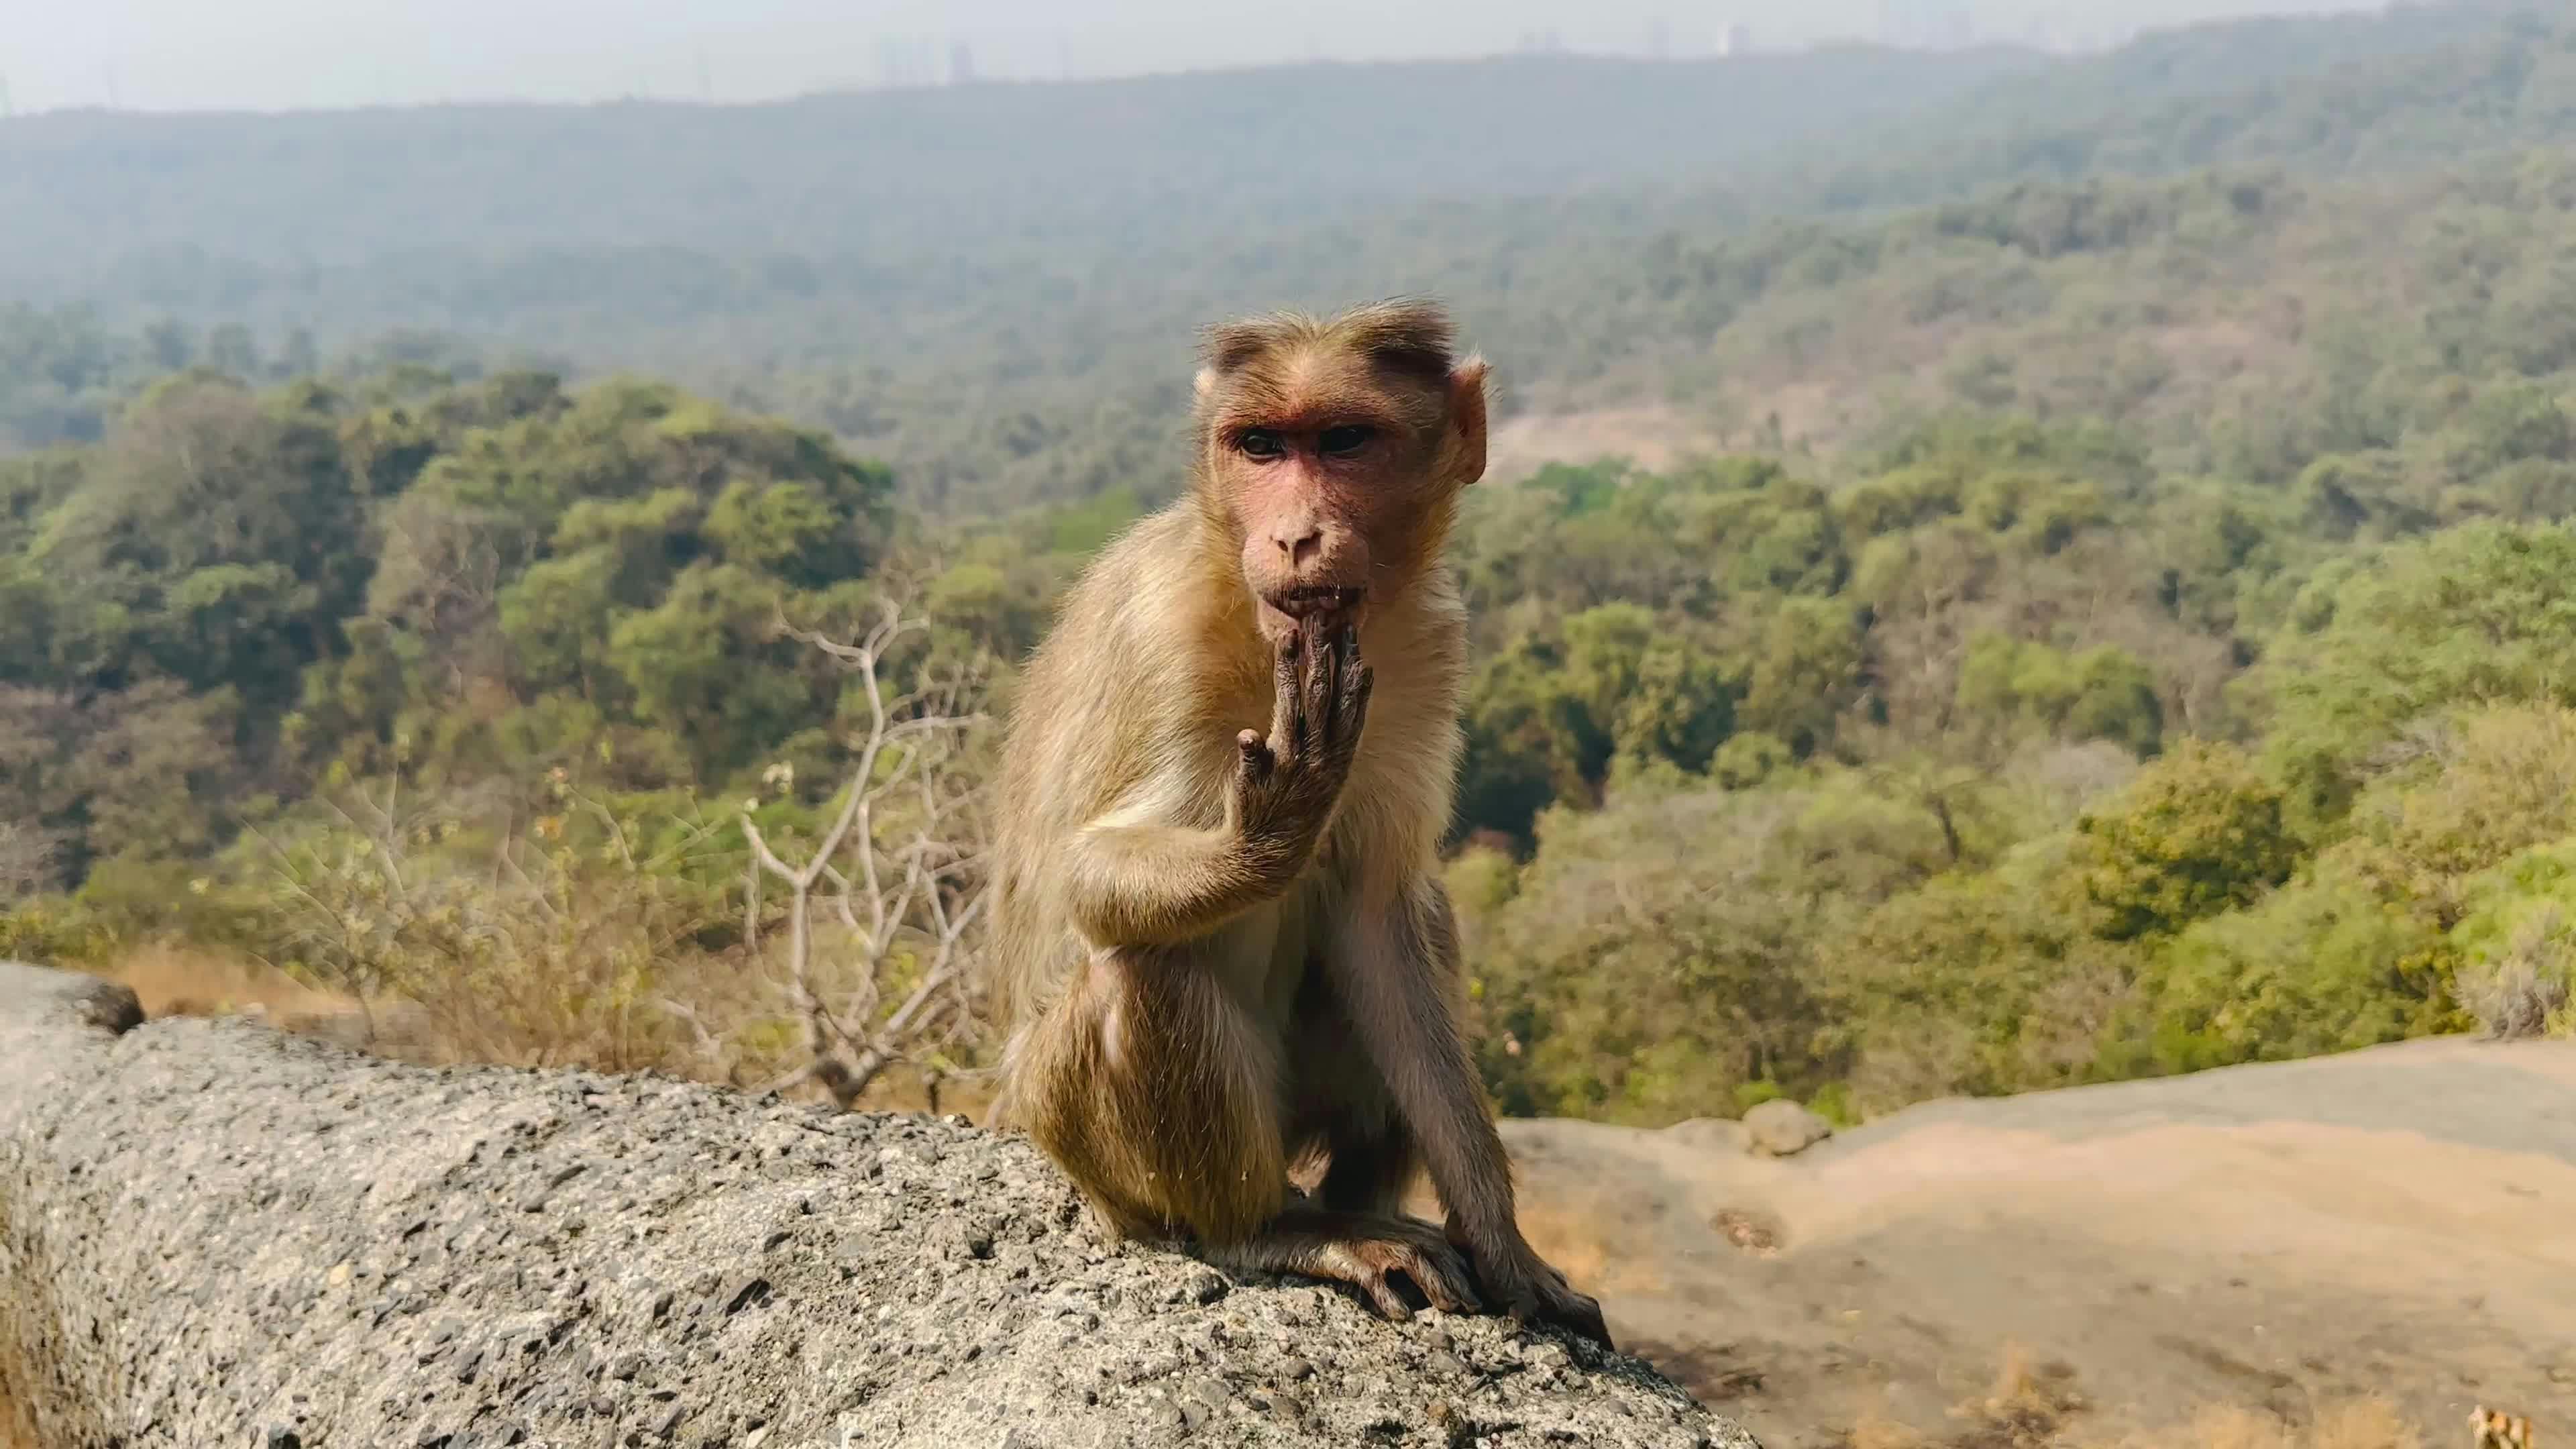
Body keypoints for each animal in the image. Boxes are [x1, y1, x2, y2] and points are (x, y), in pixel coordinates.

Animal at [984, 299, 1611, 1345]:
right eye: (1261, 446)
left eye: (1345, 441)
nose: (1294, 539)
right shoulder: (1165, 632)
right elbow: (1084, 872)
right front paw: (1264, 838)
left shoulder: (1431, 649)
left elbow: (1378, 917)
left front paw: (1503, 1240)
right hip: (1079, 1137)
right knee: (1143, 972)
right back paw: (1273, 1228)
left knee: (1426, 923)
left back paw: (1359, 1205)